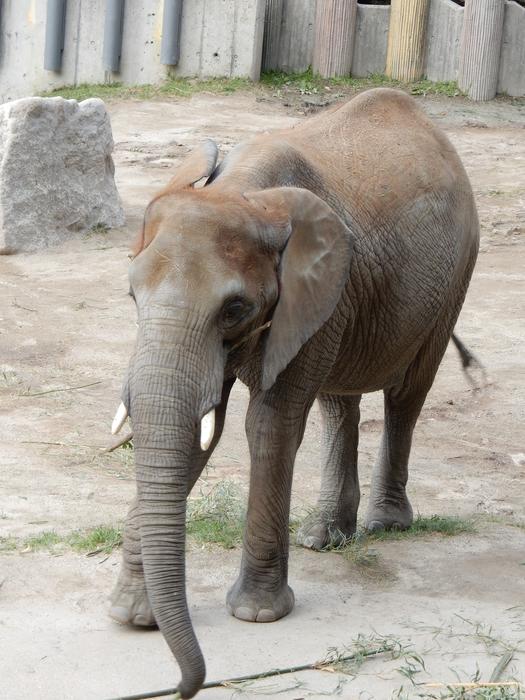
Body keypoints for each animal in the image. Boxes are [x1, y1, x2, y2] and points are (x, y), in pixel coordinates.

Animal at [108, 88, 479, 698]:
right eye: (131, 295)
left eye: (234, 308)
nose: (185, 686)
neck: (242, 194)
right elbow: (200, 429)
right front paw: (131, 618)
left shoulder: (313, 292)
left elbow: (268, 422)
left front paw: (257, 616)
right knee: (339, 400)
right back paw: (323, 537)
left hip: (454, 274)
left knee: (407, 393)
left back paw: (385, 525)